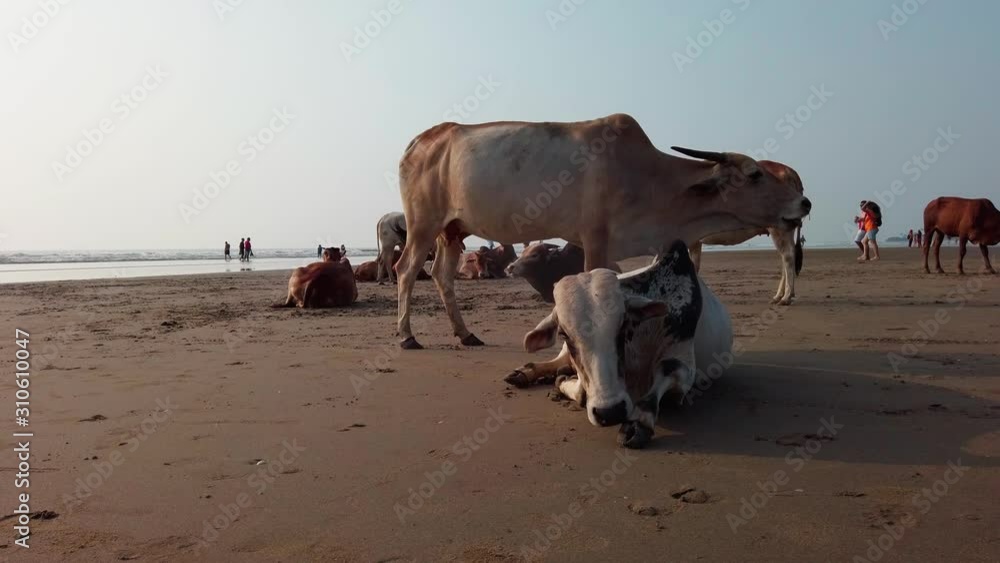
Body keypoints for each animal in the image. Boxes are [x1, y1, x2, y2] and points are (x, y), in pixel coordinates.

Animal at [393, 113, 811, 350]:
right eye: (755, 174)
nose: (804, 203)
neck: (646, 177)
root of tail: (420, 141)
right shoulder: (594, 239)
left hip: (452, 230)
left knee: (441, 275)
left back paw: (465, 334)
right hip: (423, 225)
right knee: (406, 270)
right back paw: (407, 336)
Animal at [518, 241, 733, 448]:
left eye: (624, 324)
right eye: (563, 333)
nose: (610, 412)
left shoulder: (683, 362)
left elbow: (667, 372)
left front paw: (638, 423)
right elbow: (580, 392)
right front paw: (561, 380)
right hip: (564, 356)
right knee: (557, 362)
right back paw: (525, 373)